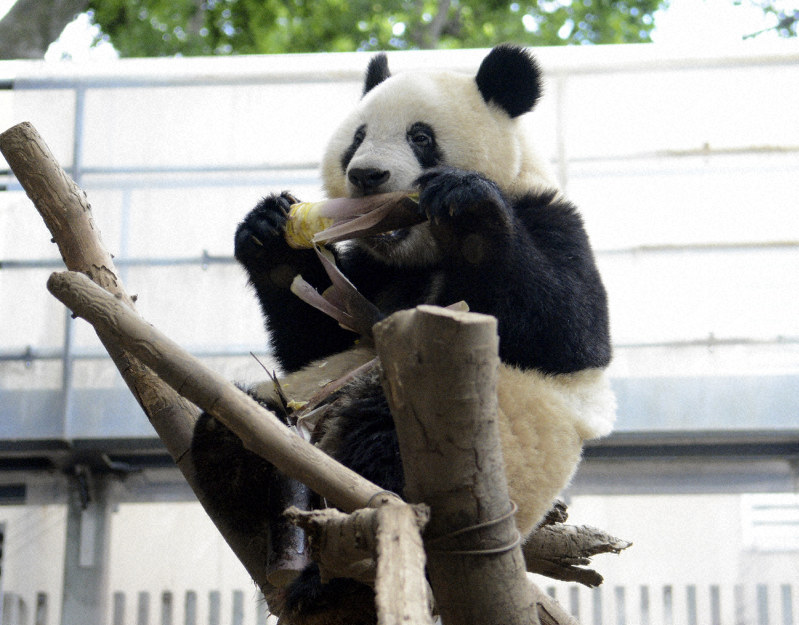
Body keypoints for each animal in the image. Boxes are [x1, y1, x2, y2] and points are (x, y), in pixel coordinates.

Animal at [192, 44, 616, 623]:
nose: (366, 175)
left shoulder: (549, 218)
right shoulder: (372, 271)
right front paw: (269, 235)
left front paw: (468, 211)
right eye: (358, 136)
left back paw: (330, 576)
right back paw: (235, 450)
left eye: (420, 137)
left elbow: (567, 332)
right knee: (267, 410)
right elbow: (316, 340)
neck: (418, 251)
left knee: (387, 444)